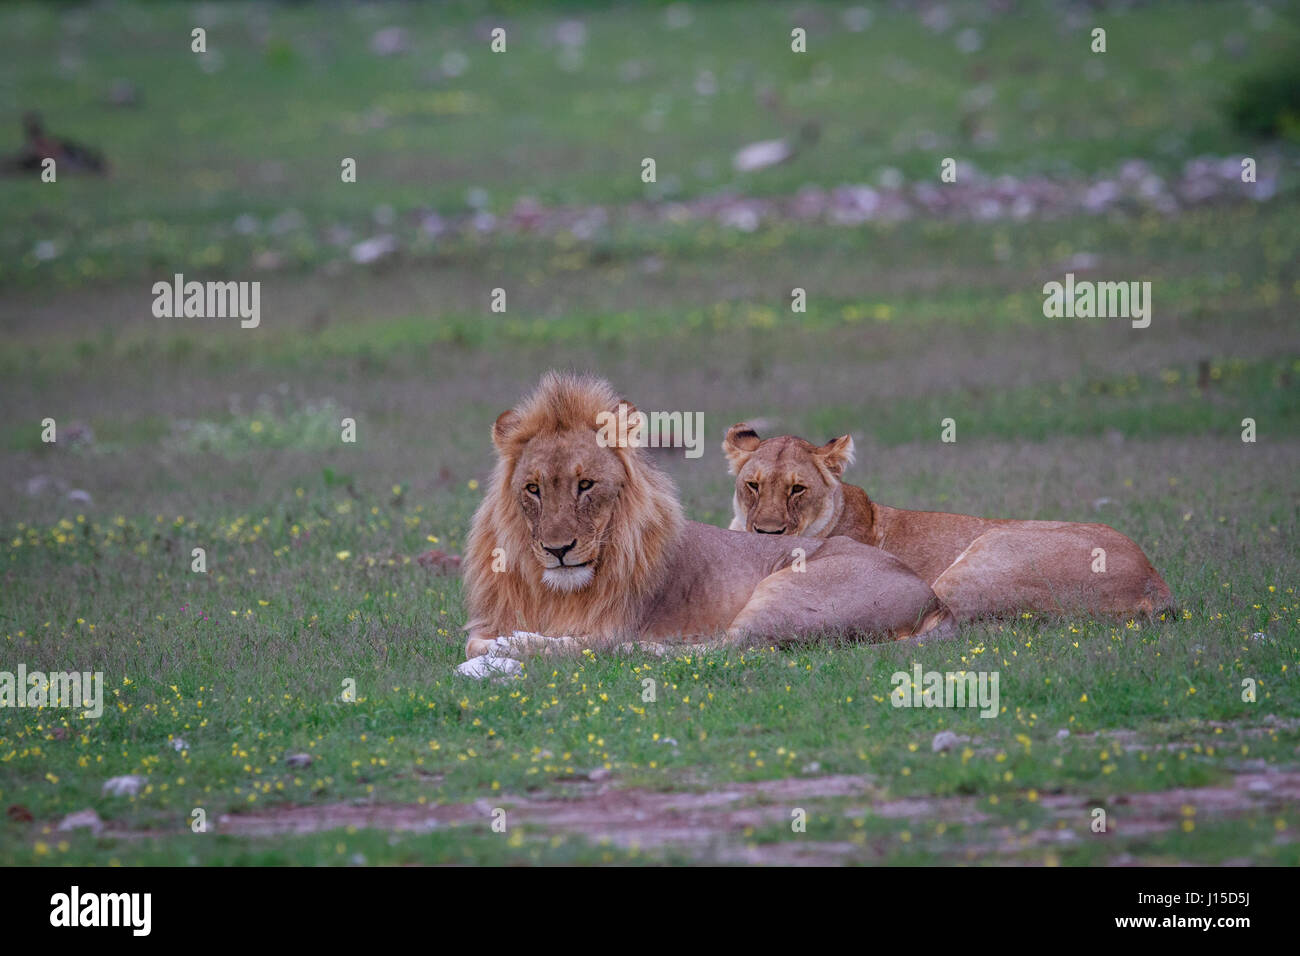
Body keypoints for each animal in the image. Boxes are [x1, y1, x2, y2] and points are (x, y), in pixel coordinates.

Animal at [460, 372, 954, 662]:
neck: (557, 591)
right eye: (533, 489)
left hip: (785, 595)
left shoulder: (619, 621)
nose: (558, 550)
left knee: (725, 649)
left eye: (586, 485)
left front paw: (513, 645)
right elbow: (473, 637)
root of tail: (934, 598)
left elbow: (584, 641)